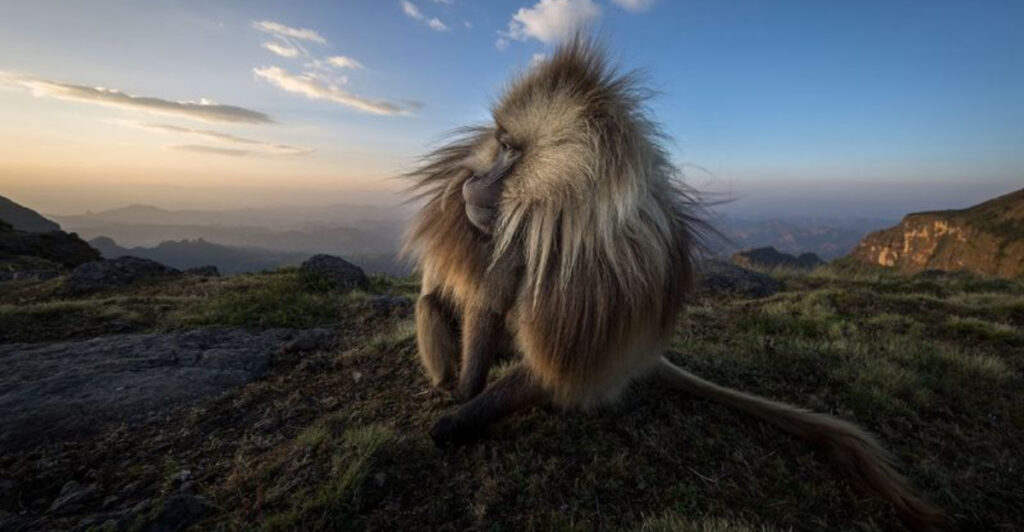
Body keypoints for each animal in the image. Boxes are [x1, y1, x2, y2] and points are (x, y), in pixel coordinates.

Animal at [401, 37, 945, 530]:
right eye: (499, 141)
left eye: (512, 151)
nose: (471, 183)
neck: (562, 215)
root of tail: (645, 355)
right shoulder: (513, 239)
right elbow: (488, 305)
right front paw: (464, 388)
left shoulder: (586, 277)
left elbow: (551, 366)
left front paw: (453, 422)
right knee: (430, 303)